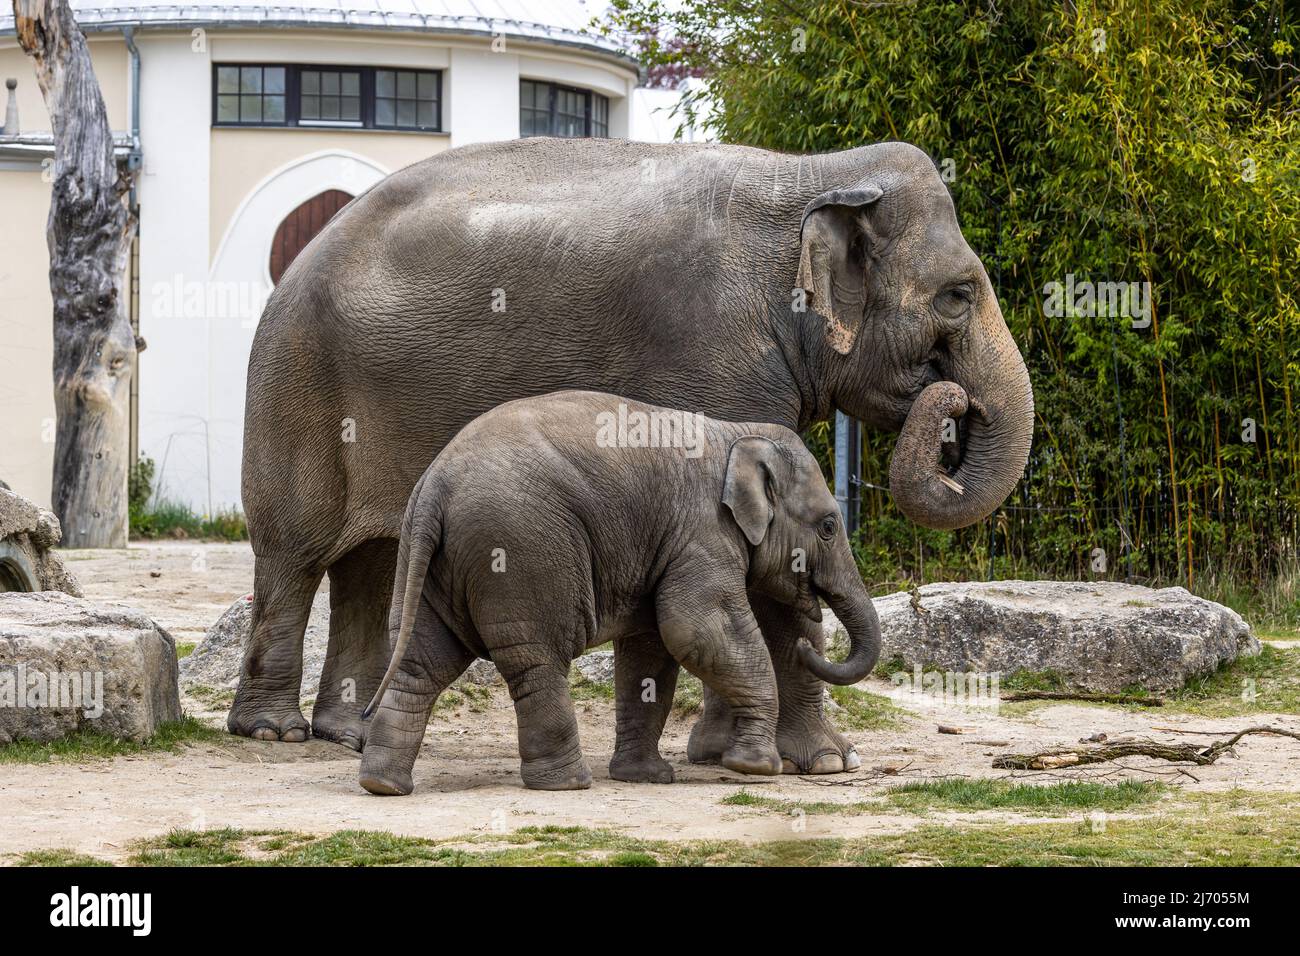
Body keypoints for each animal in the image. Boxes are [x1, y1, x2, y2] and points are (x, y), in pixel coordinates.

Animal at [358, 390, 882, 795]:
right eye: (829, 526)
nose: (808, 642)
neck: (736, 433)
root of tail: (435, 487)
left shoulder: (668, 546)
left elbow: (652, 650)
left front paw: (646, 777)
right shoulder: (702, 534)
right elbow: (696, 628)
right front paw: (756, 767)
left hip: (426, 563)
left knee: (421, 664)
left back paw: (383, 785)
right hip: (519, 553)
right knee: (537, 661)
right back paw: (568, 785)